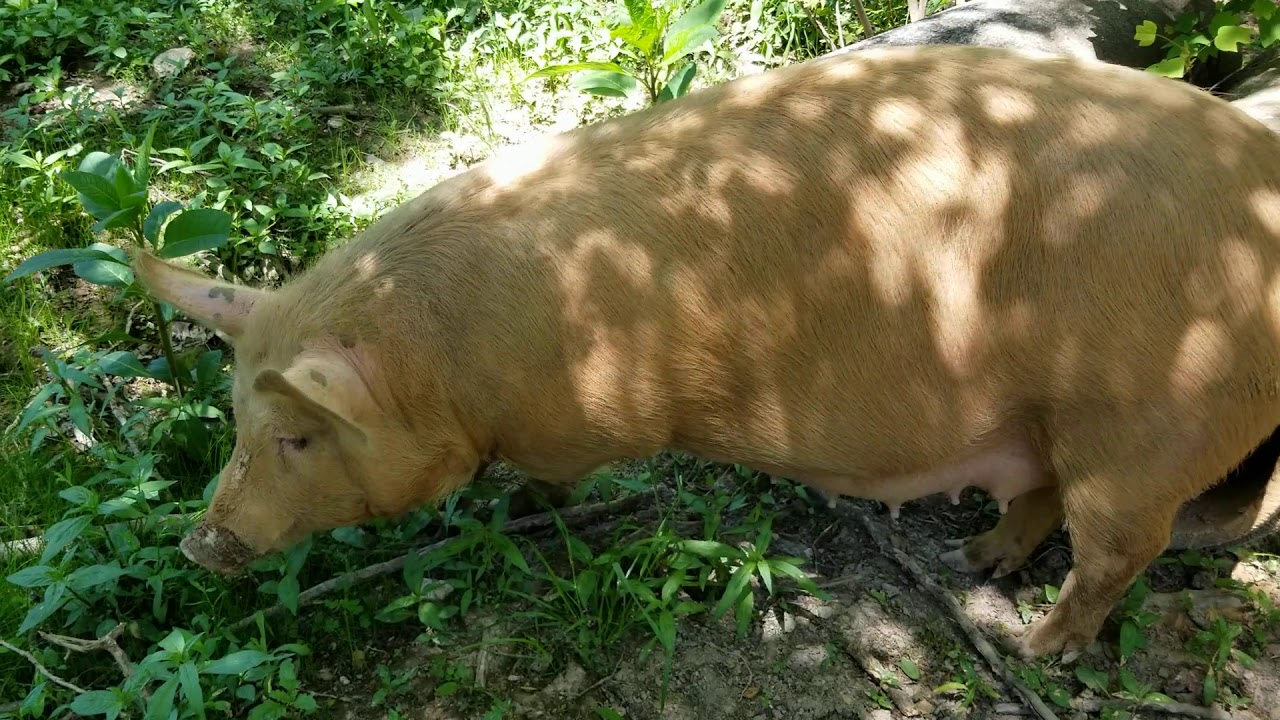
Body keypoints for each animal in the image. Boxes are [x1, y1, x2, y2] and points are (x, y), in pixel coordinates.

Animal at [130, 43, 1280, 662]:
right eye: (237, 420)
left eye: (298, 437)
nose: (197, 543)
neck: (445, 357)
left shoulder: (572, 420)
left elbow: (552, 476)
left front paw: (533, 507)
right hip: (1053, 417)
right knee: (1039, 497)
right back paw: (971, 563)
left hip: (1142, 426)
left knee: (1118, 549)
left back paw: (1029, 646)